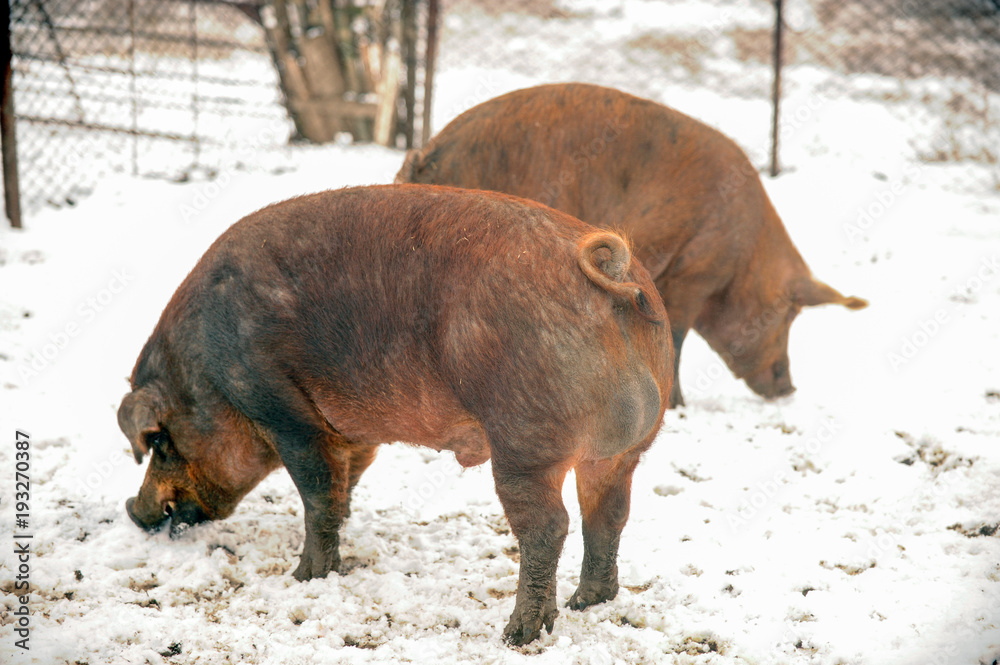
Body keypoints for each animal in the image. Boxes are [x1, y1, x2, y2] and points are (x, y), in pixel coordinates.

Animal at [118, 184, 672, 646]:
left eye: (159, 440)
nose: (134, 511)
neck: (207, 377)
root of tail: (611, 275)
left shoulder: (281, 410)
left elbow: (315, 491)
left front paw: (303, 577)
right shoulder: (353, 433)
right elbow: (342, 487)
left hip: (526, 442)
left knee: (549, 527)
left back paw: (517, 634)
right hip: (625, 450)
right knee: (608, 513)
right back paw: (588, 602)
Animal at [396, 83, 868, 407]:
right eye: (789, 316)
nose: (789, 387)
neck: (744, 260)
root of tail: (428, 151)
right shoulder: (694, 271)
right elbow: (676, 336)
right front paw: (677, 405)